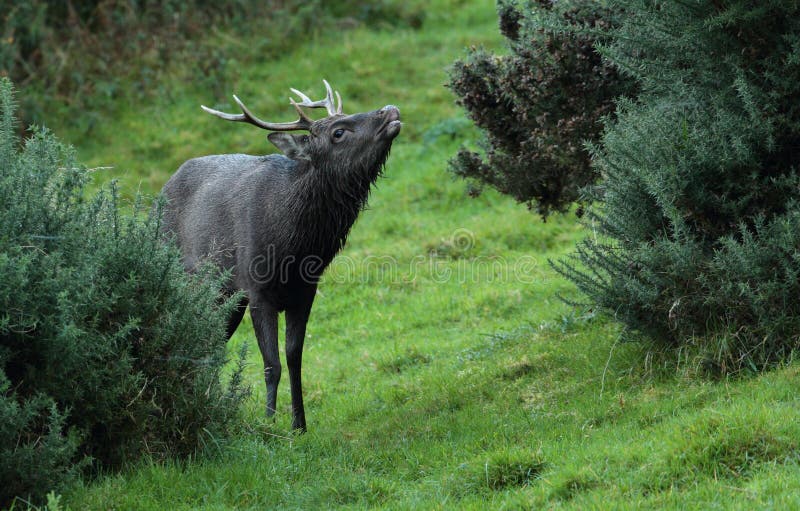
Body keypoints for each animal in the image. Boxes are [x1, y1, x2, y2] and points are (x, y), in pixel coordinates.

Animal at [160, 80, 401, 431]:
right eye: (338, 132)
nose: (390, 110)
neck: (294, 250)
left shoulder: (305, 291)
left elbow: (294, 357)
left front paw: (299, 424)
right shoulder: (258, 290)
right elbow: (270, 363)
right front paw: (269, 422)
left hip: (226, 298)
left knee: (210, 345)